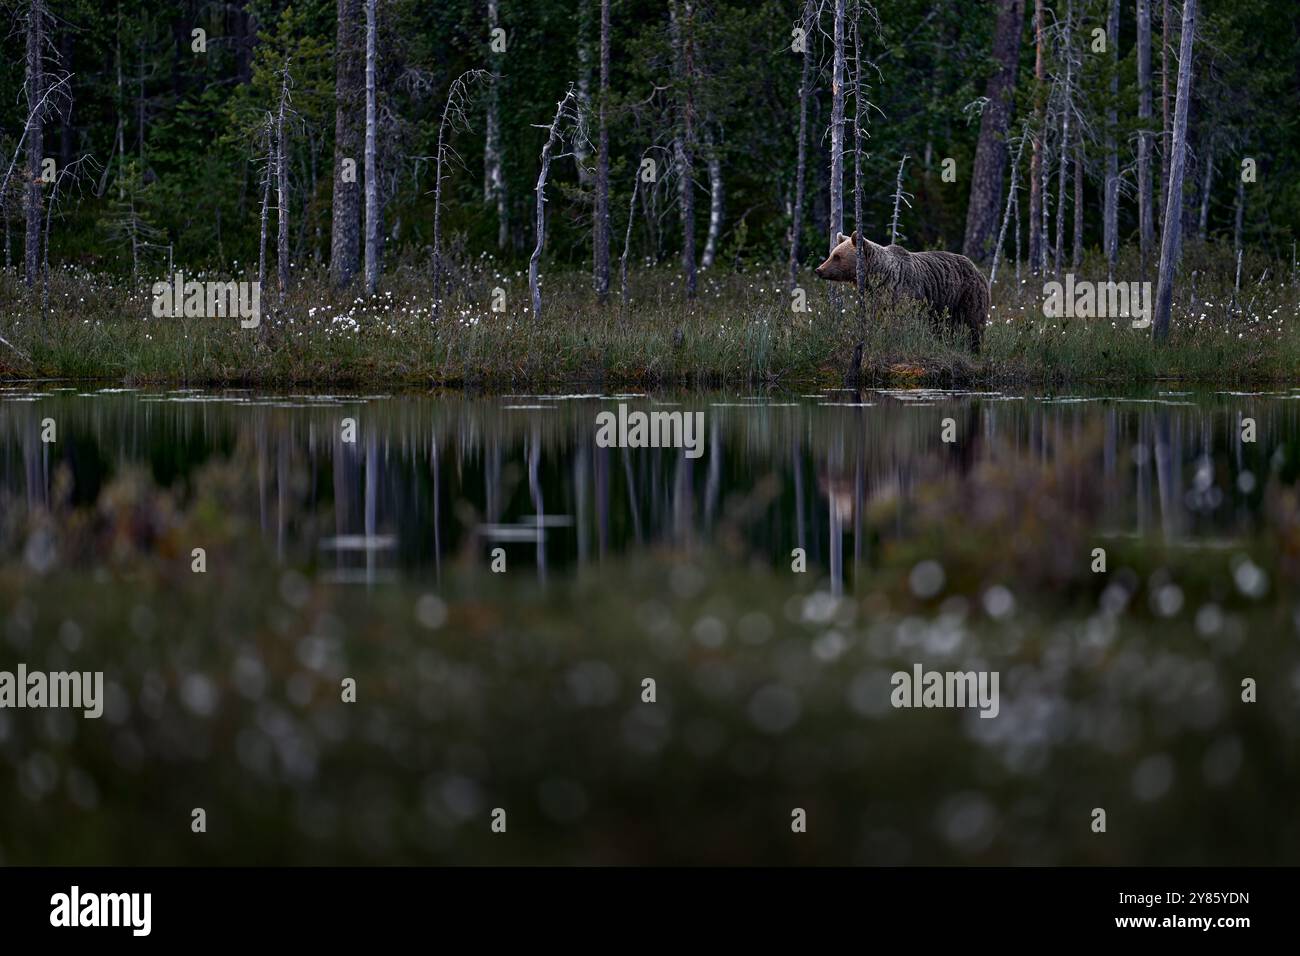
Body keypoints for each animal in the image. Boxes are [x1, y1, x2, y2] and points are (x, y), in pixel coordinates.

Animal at [813, 232, 989, 353]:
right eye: (832, 254)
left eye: (837, 256)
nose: (819, 270)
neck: (880, 275)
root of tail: (977, 269)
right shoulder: (875, 297)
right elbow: (876, 317)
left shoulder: (903, 291)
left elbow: (901, 319)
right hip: (943, 305)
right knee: (945, 327)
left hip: (967, 294)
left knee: (973, 323)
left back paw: (974, 349)